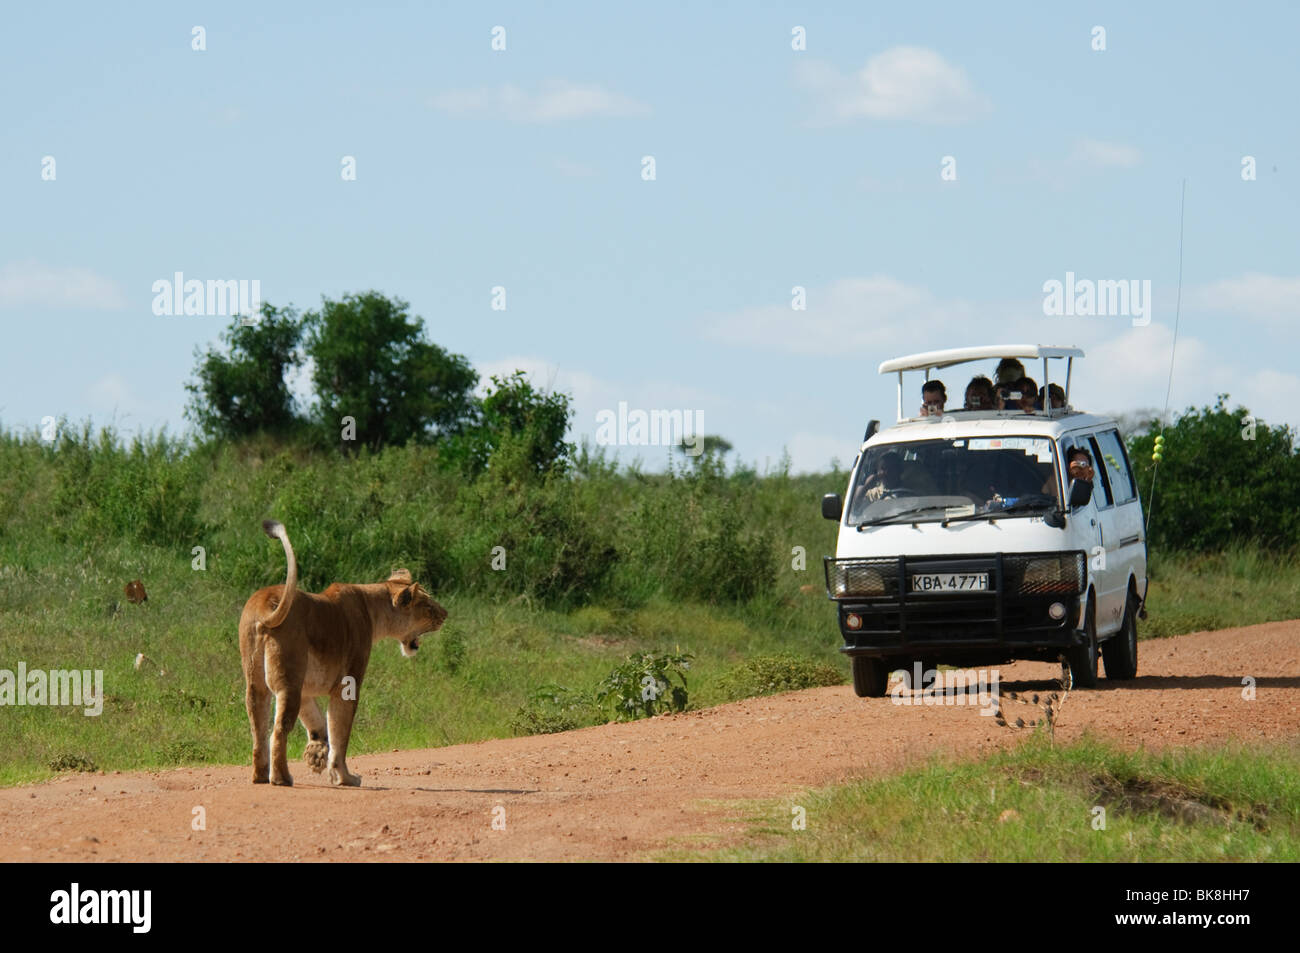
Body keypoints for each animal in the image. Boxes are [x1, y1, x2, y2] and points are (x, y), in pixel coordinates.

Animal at [239, 519, 447, 786]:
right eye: (428, 605)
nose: (446, 614)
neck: (373, 610)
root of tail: (266, 604)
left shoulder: (306, 685)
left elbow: (317, 720)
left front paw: (316, 753)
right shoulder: (347, 681)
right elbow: (340, 729)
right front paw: (344, 776)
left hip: (257, 682)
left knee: (258, 729)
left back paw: (259, 775)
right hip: (288, 681)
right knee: (278, 730)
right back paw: (281, 777)